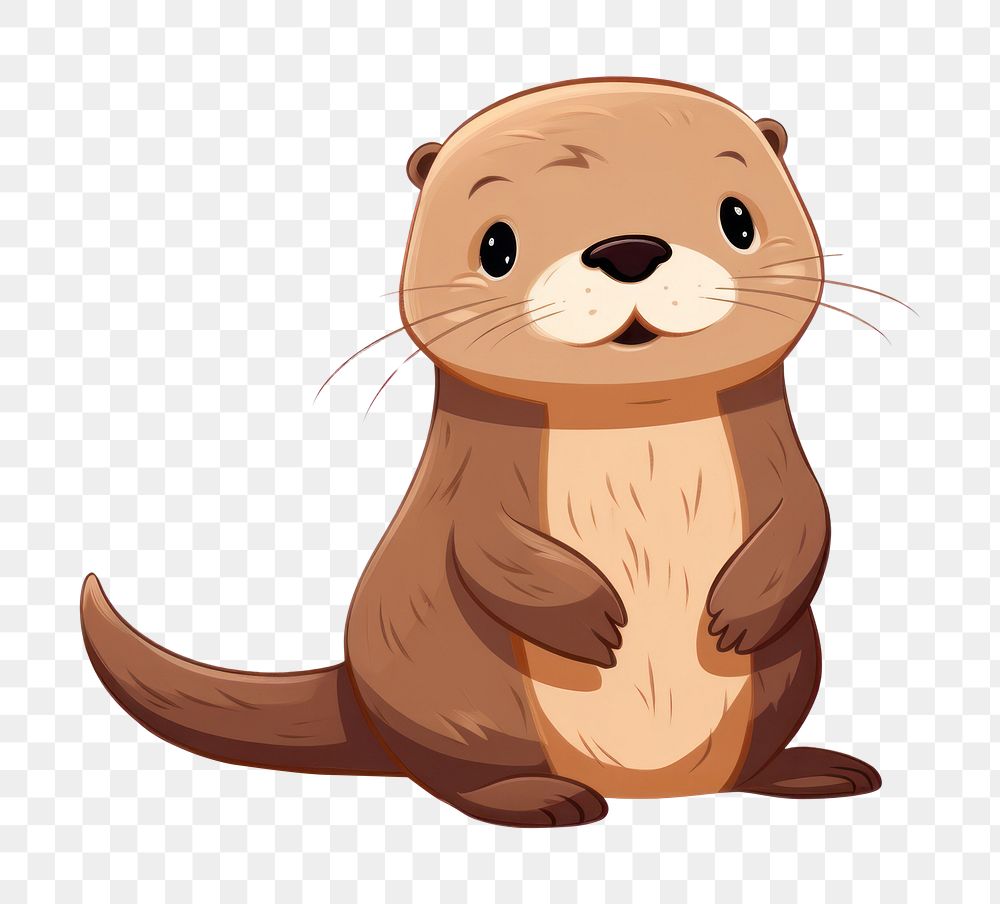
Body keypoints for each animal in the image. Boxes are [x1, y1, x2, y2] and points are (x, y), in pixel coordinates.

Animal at [81, 78, 881, 827]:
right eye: (497, 246)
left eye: (737, 219)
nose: (629, 250)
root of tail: (355, 691)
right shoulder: (474, 479)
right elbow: (482, 543)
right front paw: (592, 621)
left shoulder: (779, 455)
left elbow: (810, 517)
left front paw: (738, 613)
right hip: (449, 694)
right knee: (454, 776)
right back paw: (540, 797)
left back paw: (812, 770)